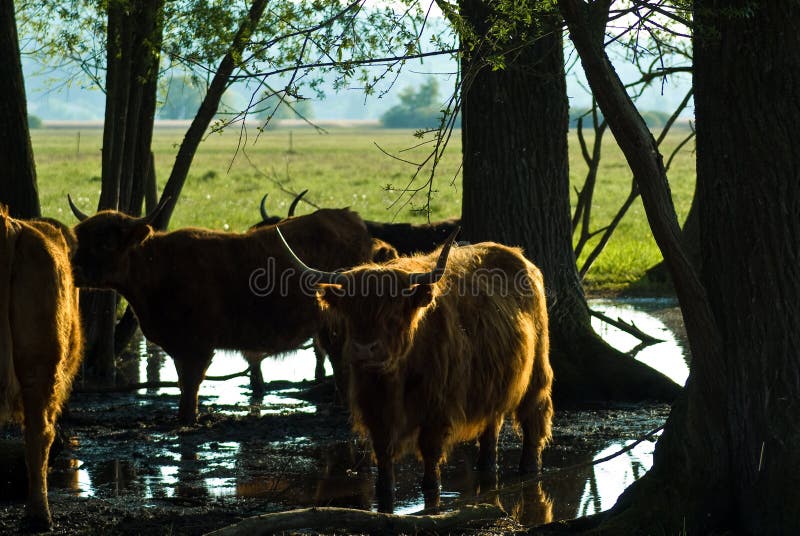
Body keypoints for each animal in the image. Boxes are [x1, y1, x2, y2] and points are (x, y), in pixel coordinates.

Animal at [68, 196, 373, 425]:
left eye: (106, 242)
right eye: (80, 238)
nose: (74, 267)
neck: (157, 269)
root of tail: (349, 217)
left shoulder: (197, 346)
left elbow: (189, 389)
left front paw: (186, 421)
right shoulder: (180, 347)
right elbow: (183, 385)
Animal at [277, 227, 554, 513]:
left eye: (392, 315)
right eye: (351, 315)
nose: (365, 349)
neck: (394, 379)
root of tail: (521, 258)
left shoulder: (437, 409)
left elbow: (430, 458)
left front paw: (432, 492)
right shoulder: (374, 410)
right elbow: (384, 457)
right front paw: (385, 494)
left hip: (537, 369)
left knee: (534, 416)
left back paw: (529, 467)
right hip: (493, 383)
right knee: (492, 427)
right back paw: (487, 468)